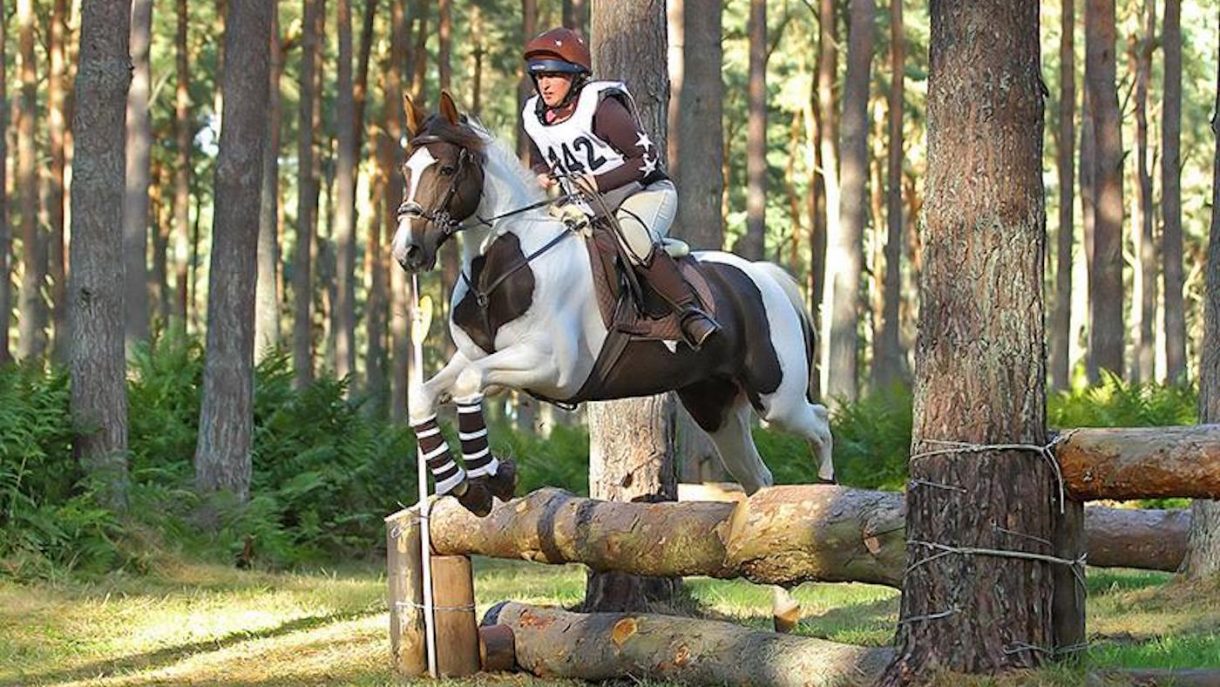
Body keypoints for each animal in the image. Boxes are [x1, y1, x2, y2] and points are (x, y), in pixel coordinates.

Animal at [392, 91, 833, 517]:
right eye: (406, 171)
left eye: (446, 169)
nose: (408, 251)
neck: (505, 265)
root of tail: (765, 276)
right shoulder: (477, 357)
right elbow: (425, 396)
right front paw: (465, 487)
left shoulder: (550, 367)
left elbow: (468, 385)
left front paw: (491, 479)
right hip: (714, 407)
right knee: (758, 476)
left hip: (777, 398)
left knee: (822, 423)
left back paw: (828, 492)